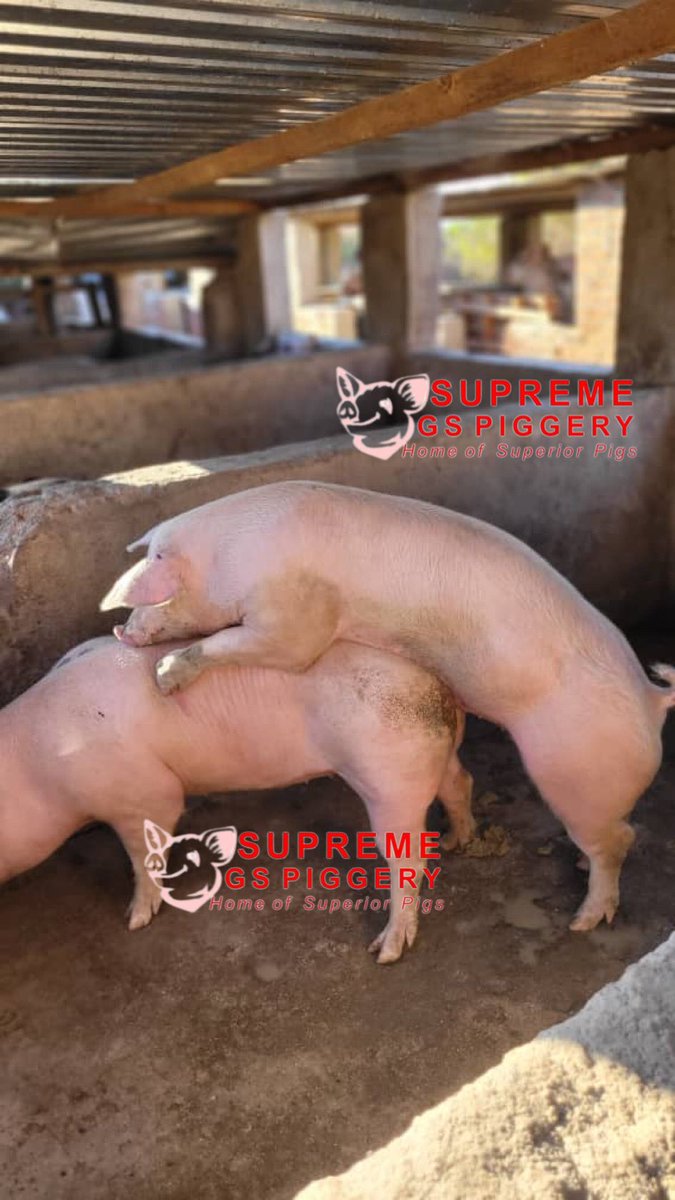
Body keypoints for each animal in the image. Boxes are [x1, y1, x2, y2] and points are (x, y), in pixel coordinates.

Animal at [0, 636, 473, 964]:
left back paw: (385, 951)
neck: (39, 759)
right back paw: (458, 840)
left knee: (409, 858)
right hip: (434, 753)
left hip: (388, 774)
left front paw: (134, 919)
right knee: (459, 782)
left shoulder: (142, 793)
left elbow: (146, 852)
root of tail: (438, 689)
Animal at [101, 480, 675, 932]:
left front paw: (164, 675)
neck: (231, 555)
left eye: (150, 596)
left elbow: (267, 645)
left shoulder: (293, 615)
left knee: (619, 838)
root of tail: (651, 698)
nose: (122, 630)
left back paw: (583, 920)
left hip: (576, 769)